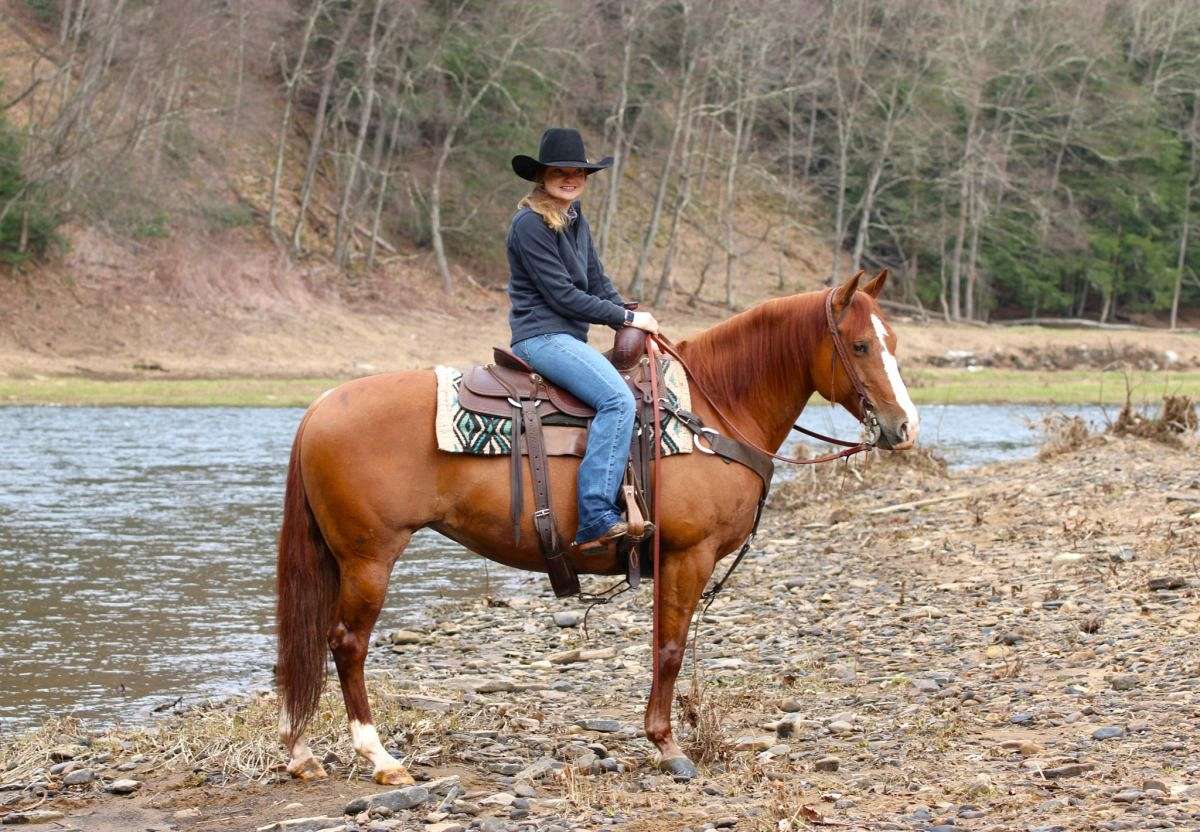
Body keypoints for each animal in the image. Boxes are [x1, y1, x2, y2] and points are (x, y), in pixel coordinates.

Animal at [275, 268, 919, 784]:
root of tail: (320, 405)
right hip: (369, 558)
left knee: (306, 642)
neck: (714, 409)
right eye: (861, 345)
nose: (905, 427)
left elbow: (663, 646)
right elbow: (669, 649)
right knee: (346, 644)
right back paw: (380, 758)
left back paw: (301, 753)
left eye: (893, 342)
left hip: (337, 559)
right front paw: (667, 746)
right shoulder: (687, 554)